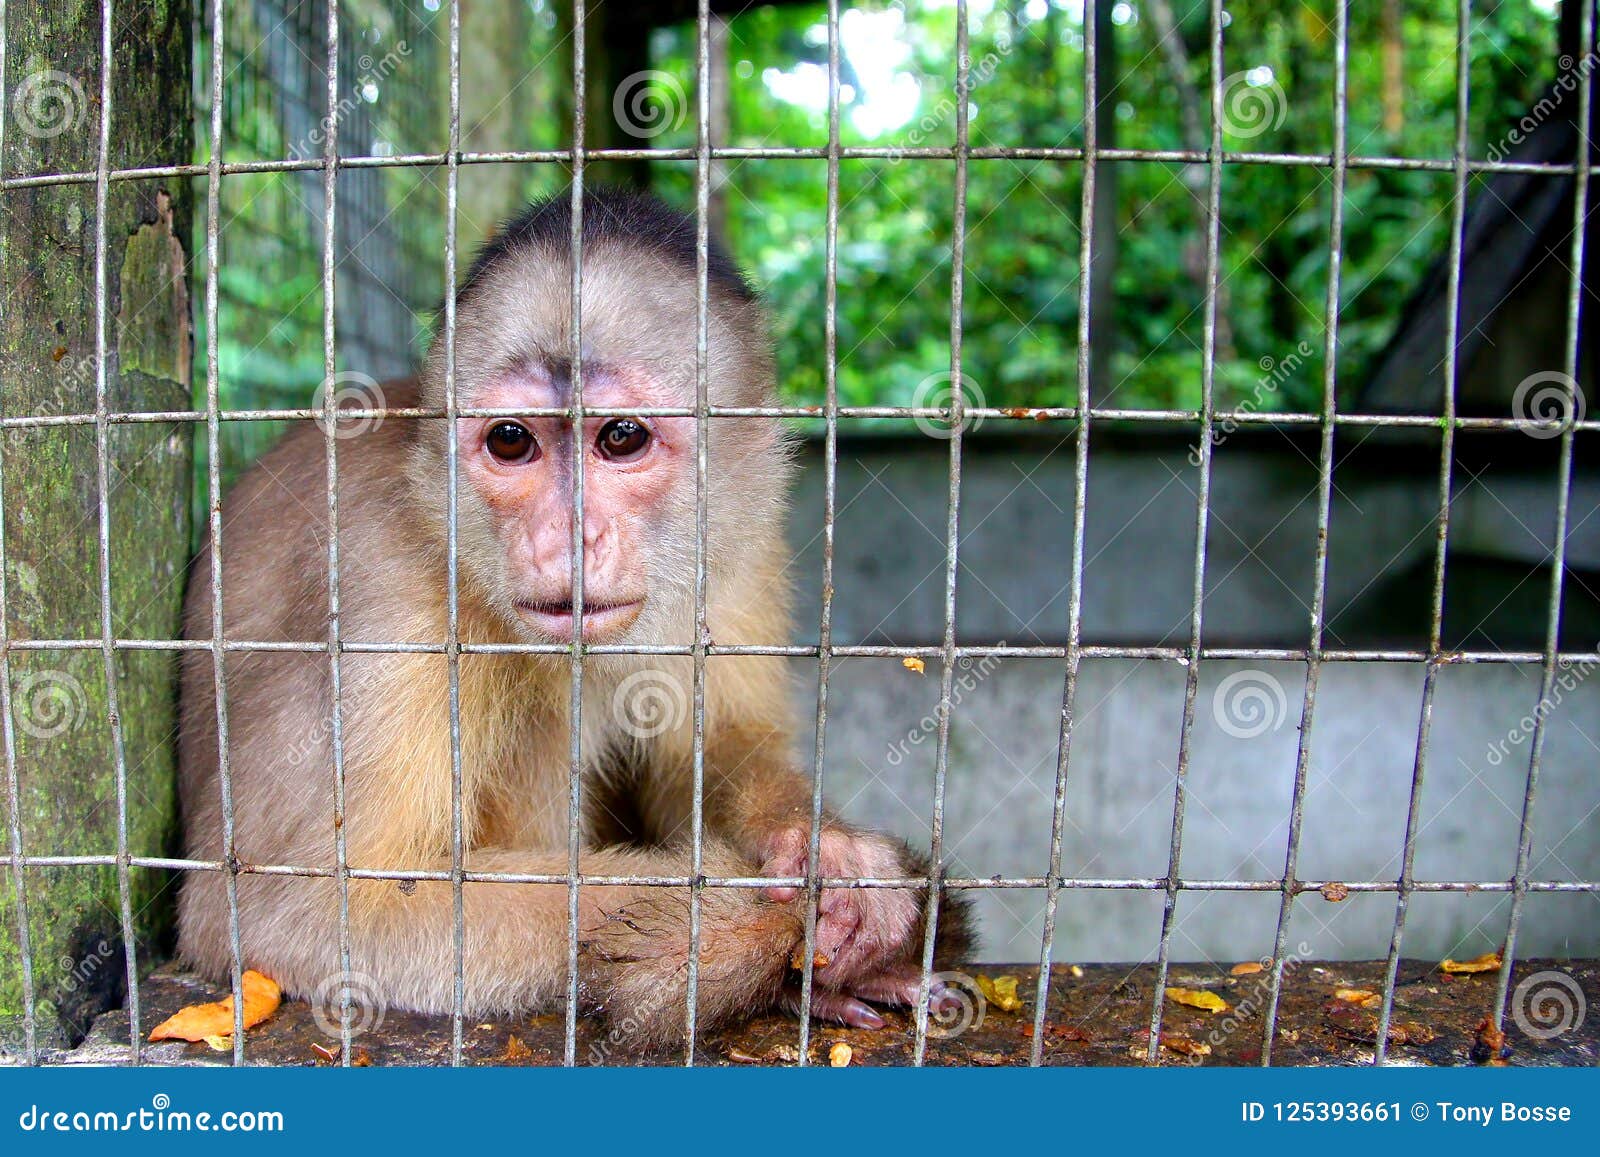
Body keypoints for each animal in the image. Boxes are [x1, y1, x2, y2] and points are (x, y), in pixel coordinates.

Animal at [176, 187, 973, 1052]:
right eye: (510, 440)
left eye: (620, 437)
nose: (567, 533)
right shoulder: (379, 595)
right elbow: (302, 911)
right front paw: (781, 931)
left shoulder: (740, 544)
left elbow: (710, 752)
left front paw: (821, 847)